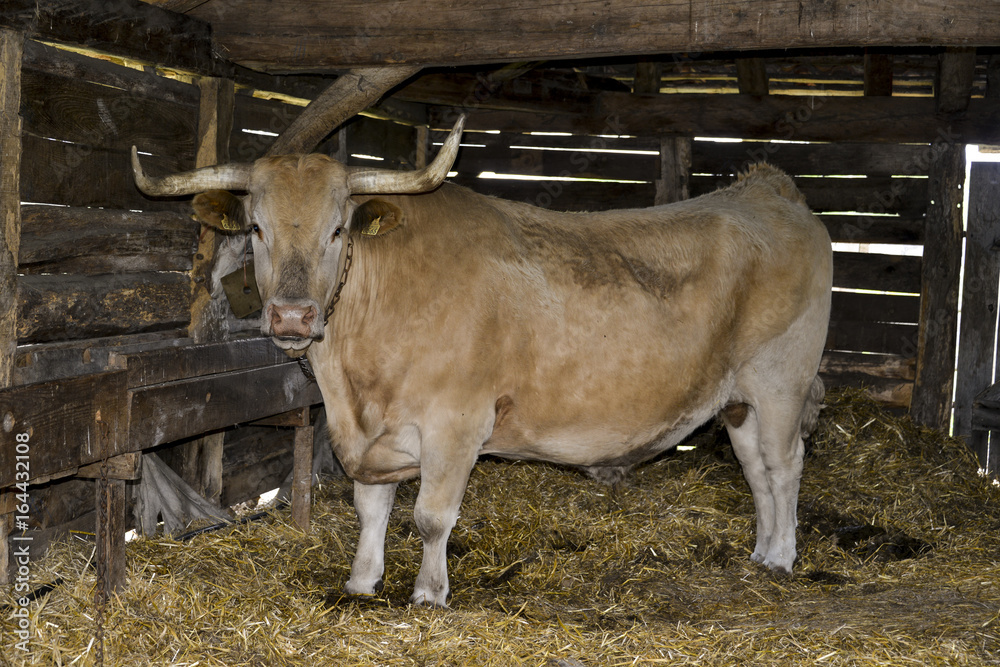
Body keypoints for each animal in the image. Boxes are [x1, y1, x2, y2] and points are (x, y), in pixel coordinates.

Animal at [132, 116, 833, 607]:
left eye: (337, 229)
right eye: (256, 229)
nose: (293, 318)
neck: (355, 383)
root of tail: (767, 189)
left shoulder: (456, 422)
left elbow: (430, 516)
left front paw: (428, 592)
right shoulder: (369, 432)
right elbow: (371, 507)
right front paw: (362, 581)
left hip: (782, 381)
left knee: (785, 465)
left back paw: (783, 555)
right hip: (736, 398)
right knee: (756, 469)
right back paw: (761, 551)